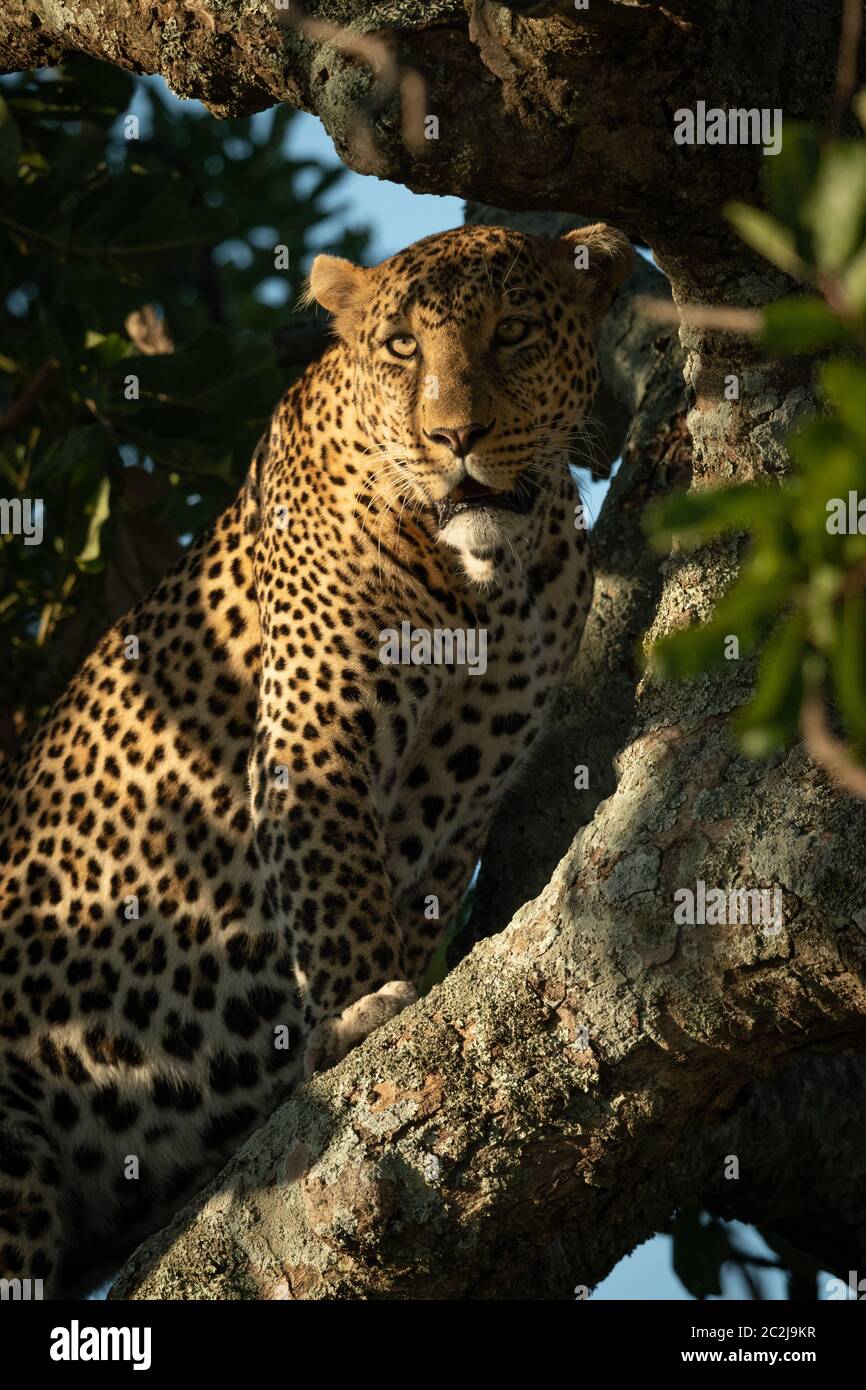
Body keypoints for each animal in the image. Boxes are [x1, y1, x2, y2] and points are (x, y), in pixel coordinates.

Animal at [0, 220, 632, 1297]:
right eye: (403, 350)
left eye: (511, 333)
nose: (454, 437)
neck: (485, 576)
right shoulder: (316, 731)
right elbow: (336, 889)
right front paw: (357, 1020)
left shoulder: (462, 788)